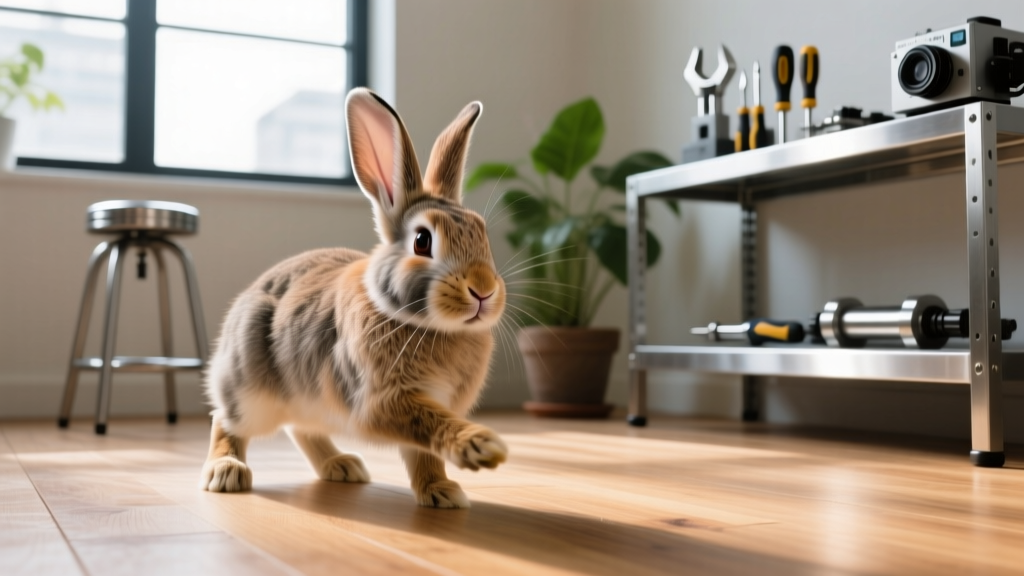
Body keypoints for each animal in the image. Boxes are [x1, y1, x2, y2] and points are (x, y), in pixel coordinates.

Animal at [200, 87, 508, 509]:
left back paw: (342, 466)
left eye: (482, 235)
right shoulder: (381, 401)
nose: (483, 290)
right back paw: (226, 472)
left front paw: (442, 491)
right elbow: (430, 424)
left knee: (301, 429)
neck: (423, 324)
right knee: (225, 419)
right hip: (250, 392)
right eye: (422, 240)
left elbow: (424, 453)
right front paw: (481, 445)